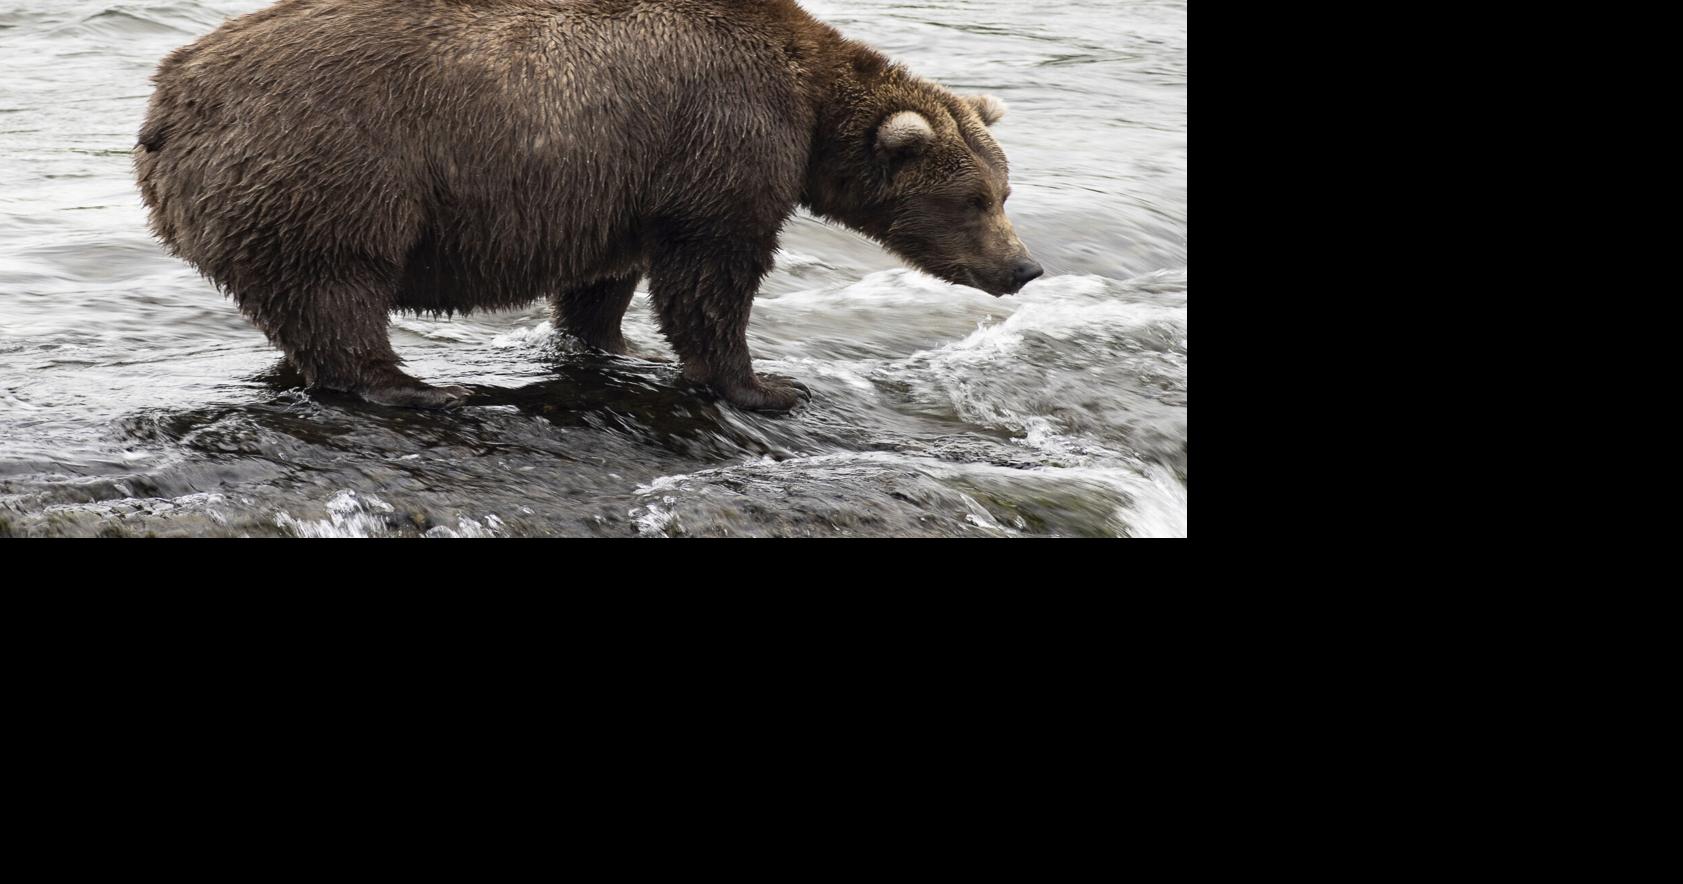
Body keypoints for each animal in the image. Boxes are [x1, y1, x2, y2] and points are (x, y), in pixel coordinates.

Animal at [134, 0, 1041, 412]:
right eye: (973, 199)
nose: (1024, 267)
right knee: (338, 285)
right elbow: (713, 274)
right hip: (335, 165)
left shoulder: (626, 183)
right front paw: (764, 384)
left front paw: (612, 341)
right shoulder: (726, 140)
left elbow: (606, 277)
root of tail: (167, 102)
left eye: (1003, 190)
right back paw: (410, 385)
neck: (810, 106)